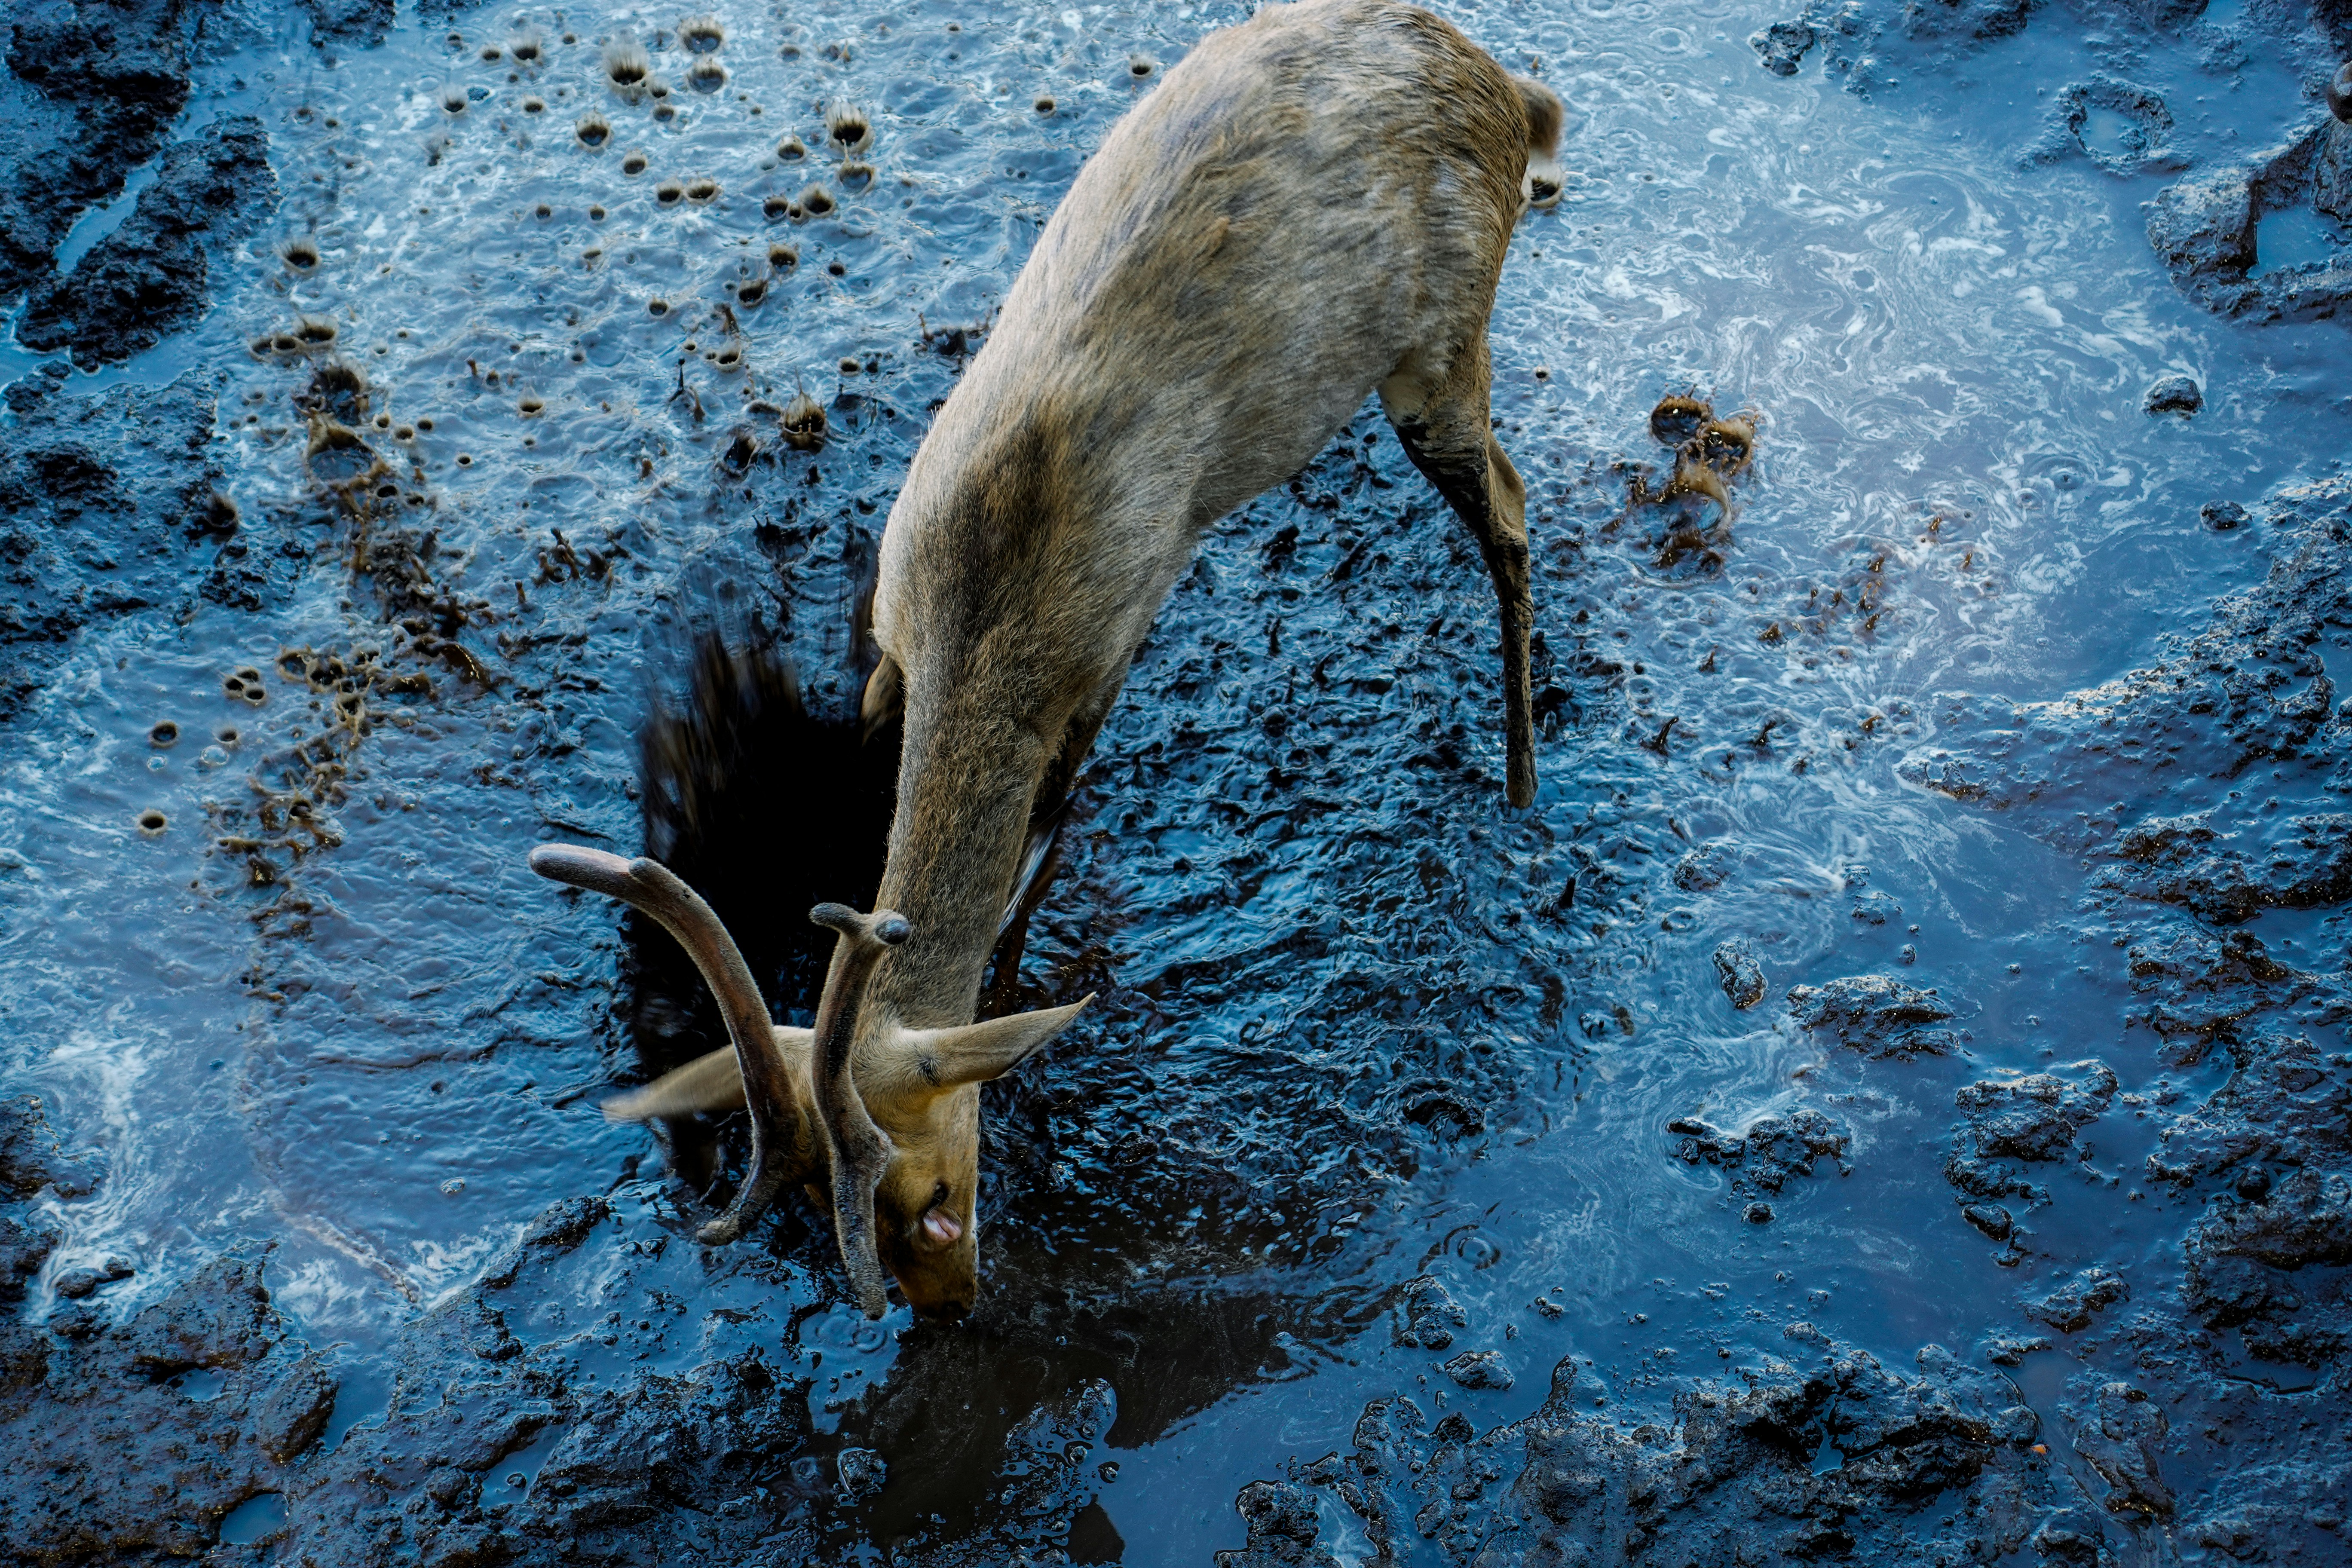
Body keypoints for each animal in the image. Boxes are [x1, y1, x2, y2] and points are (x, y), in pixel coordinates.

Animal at [532, 0, 1564, 1320]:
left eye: (930, 1200)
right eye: (813, 1204)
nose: (951, 1309)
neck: (984, 598)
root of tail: (1507, 93)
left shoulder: (1112, 643)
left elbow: (1047, 848)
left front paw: (1022, 1003)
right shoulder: (891, 634)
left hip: (1439, 342)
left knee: (1513, 510)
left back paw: (1522, 777)